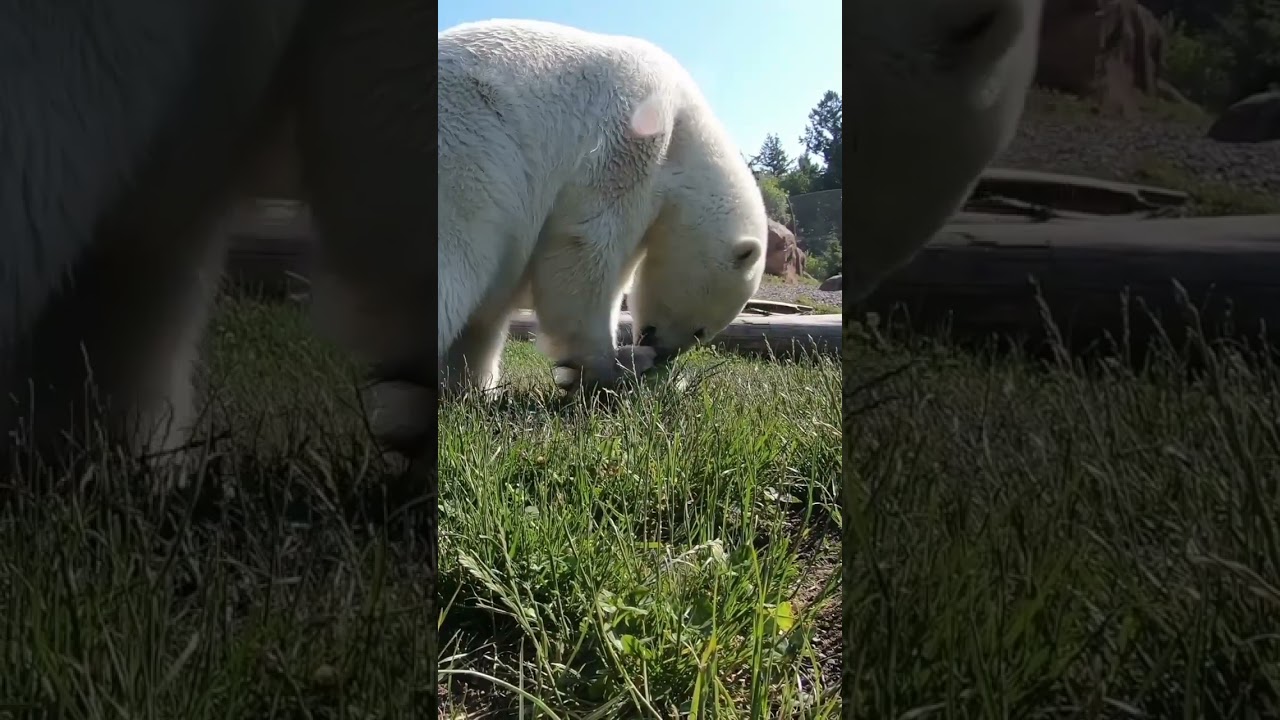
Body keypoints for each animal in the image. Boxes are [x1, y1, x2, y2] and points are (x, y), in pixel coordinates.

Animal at [418, 19, 766, 416]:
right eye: (702, 330)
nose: (663, 353)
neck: (683, 127)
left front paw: (475, 388)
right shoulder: (630, 131)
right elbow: (585, 252)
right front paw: (613, 367)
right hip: (470, 156)